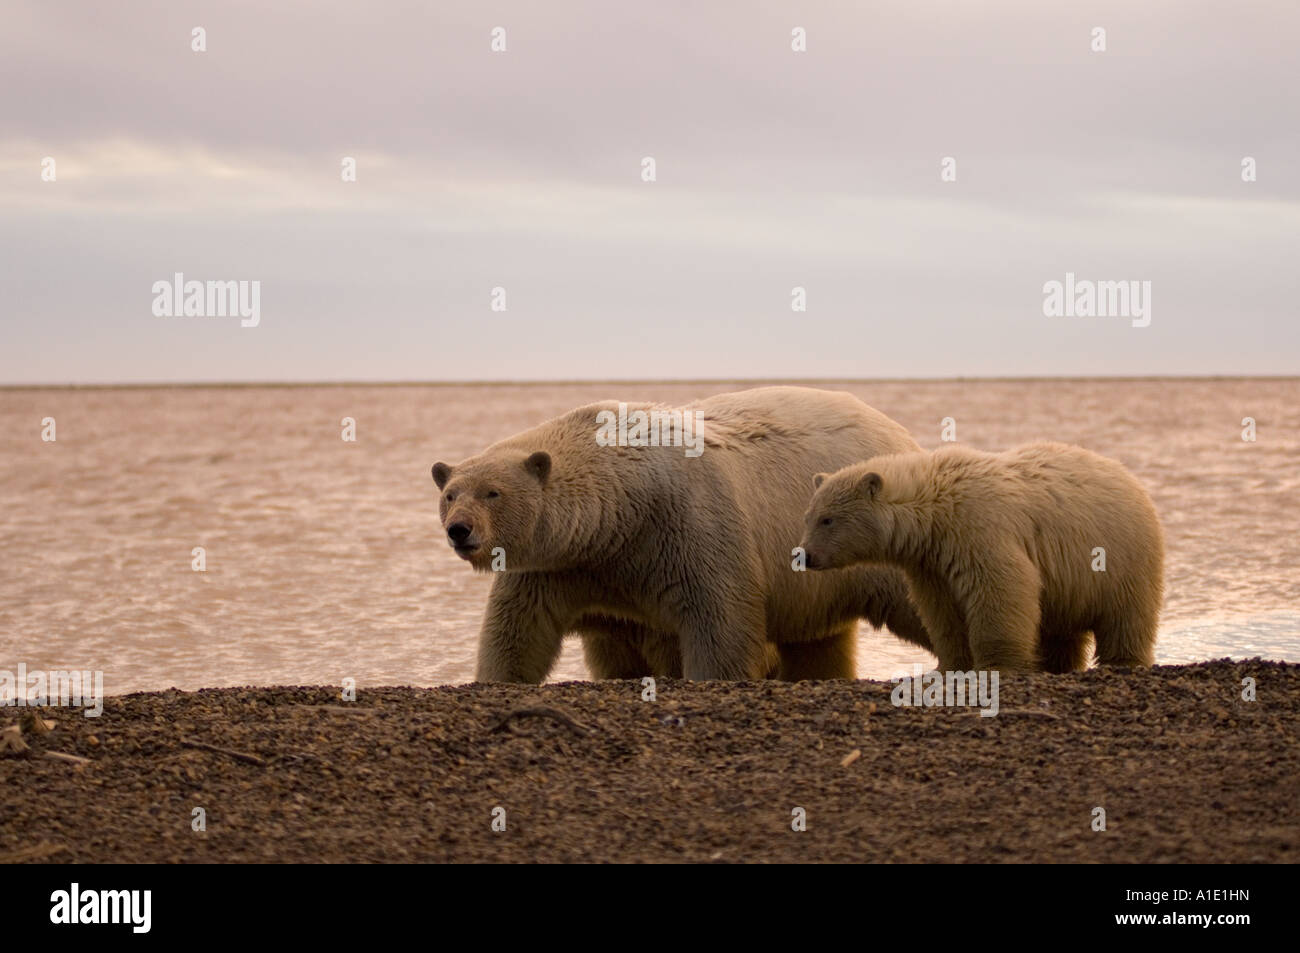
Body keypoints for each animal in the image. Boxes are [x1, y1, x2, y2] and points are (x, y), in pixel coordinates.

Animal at [430, 386, 932, 683]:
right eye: (451, 494)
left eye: (492, 492)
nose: (460, 530)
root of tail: (900, 433)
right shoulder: (559, 566)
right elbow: (516, 629)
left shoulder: (686, 526)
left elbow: (720, 620)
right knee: (817, 641)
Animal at [797, 442, 1163, 673]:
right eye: (808, 516)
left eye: (827, 519)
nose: (805, 556)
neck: (933, 510)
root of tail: (1128, 477)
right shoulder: (931, 563)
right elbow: (942, 611)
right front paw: (950, 664)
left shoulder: (979, 530)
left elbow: (1002, 588)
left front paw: (998, 664)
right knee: (1061, 628)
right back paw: (1056, 663)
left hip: (1123, 554)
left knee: (1127, 613)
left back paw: (1123, 659)